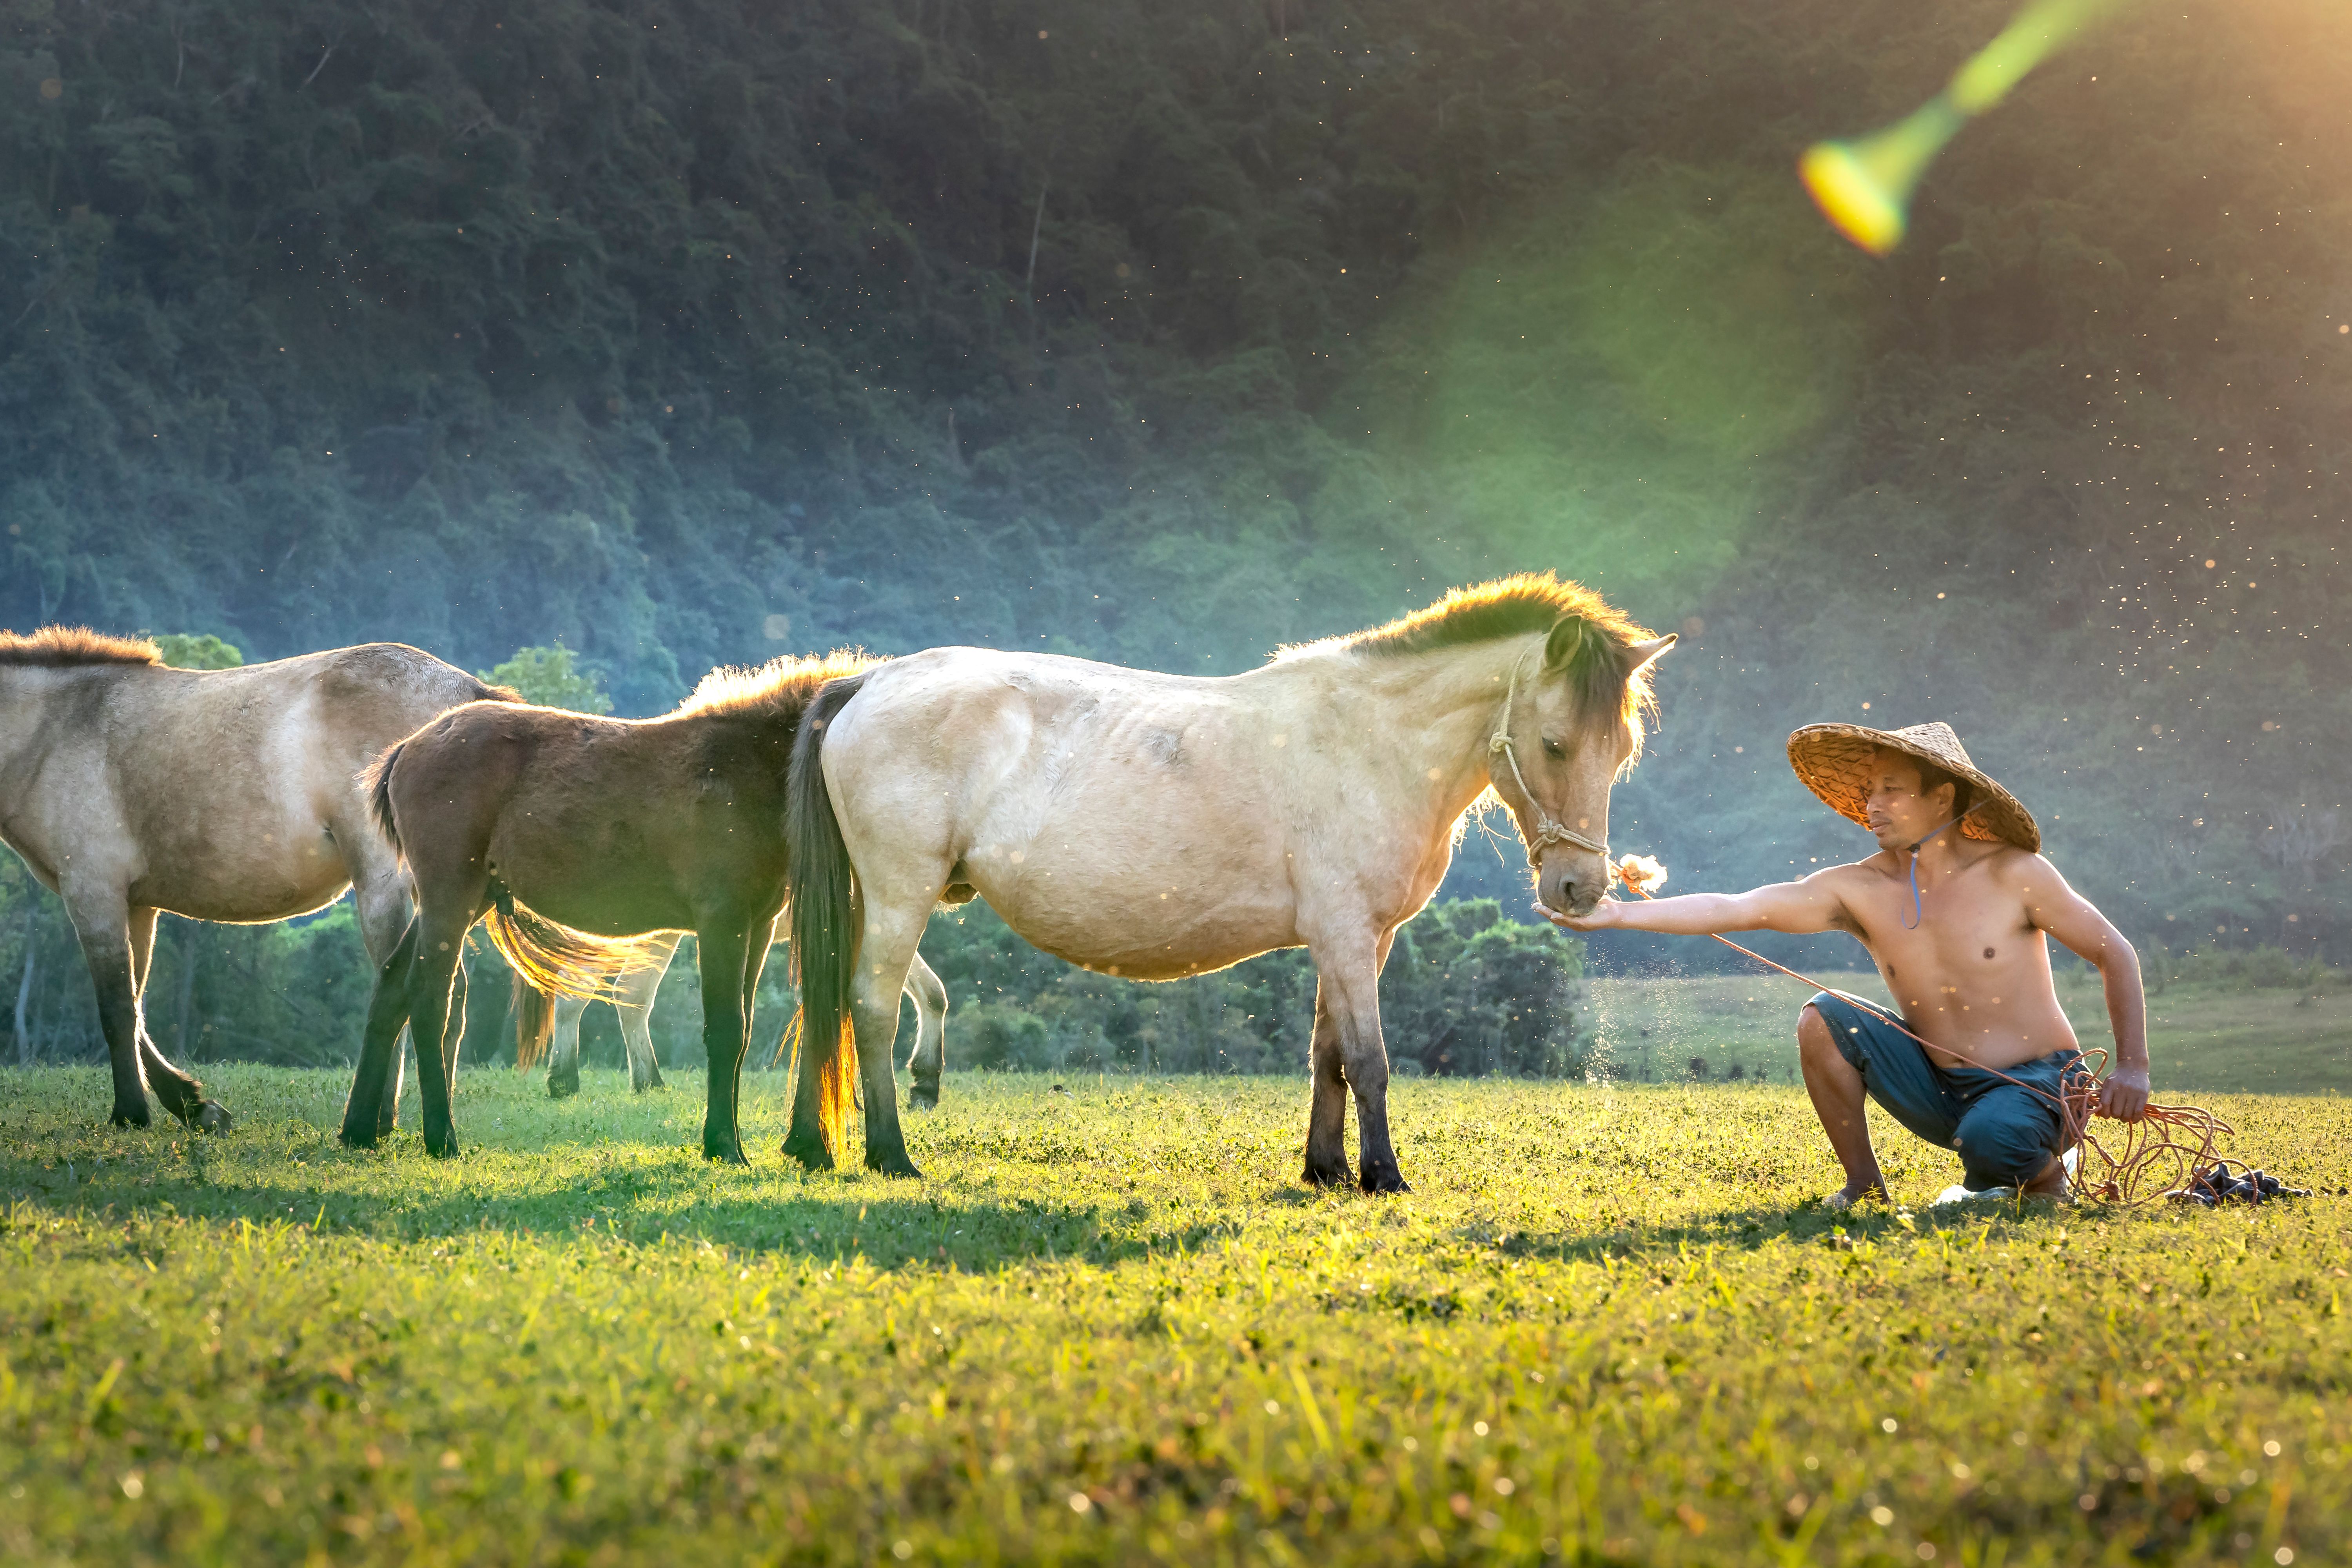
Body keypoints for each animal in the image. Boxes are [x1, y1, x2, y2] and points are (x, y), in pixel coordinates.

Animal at [0, 628, 509, 1132]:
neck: (59, 727)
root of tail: (467, 697)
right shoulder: (136, 905)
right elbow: (137, 1005)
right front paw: (193, 1104)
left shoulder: (93, 892)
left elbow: (116, 1009)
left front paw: (132, 1112)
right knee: (448, 995)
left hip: (383, 885)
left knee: (405, 987)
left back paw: (377, 1118)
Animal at [781, 574, 1674, 1187]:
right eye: (1556, 743)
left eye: (1622, 749)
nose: (1581, 889)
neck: (1374, 741)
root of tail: (870, 681)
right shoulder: (1347, 934)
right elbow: (1369, 1059)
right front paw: (1383, 1175)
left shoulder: (1358, 938)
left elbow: (1327, 1055)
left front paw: (1326, 1169)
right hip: (899, 893)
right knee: (871, 1006)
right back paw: (890, 1153)